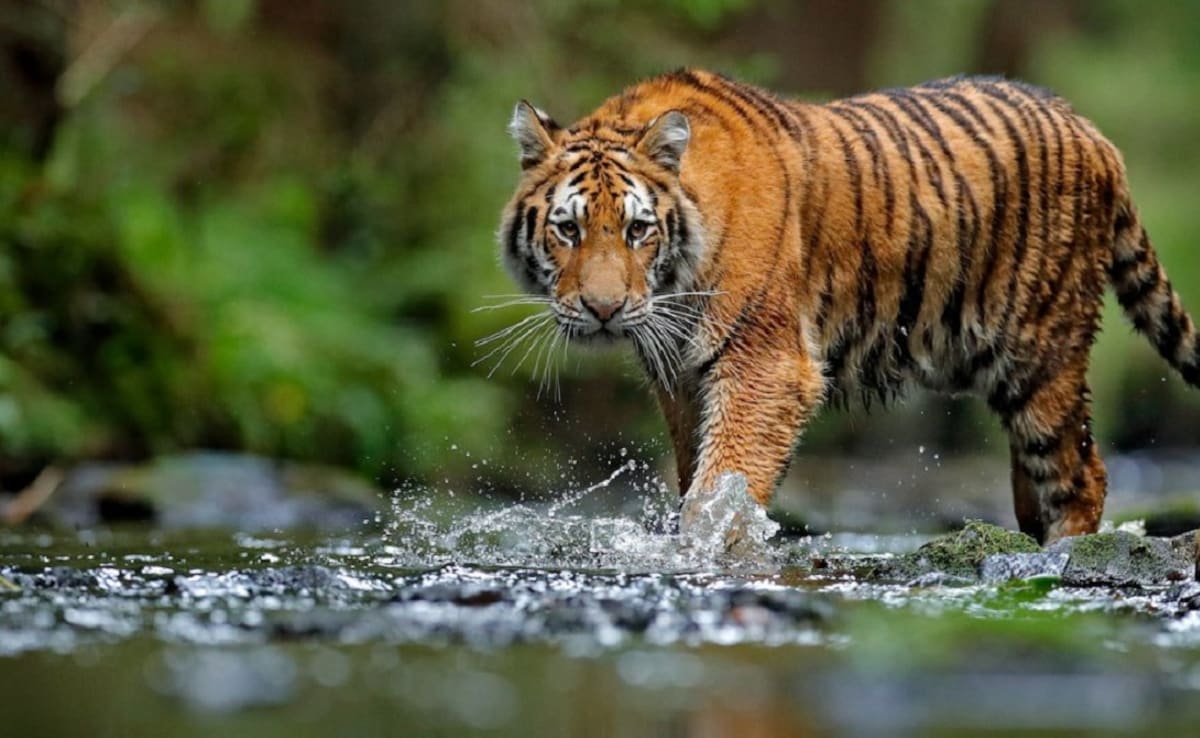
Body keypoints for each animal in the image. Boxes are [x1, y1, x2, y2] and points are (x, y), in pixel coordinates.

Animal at [495, 68, 1200, 544]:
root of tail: (1092, 131)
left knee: (1083, 474)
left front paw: (704, 547)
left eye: (638, 229)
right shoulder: (681, 377)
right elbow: (696, 470)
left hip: (1041, 354)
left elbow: (720, 485)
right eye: (568, 229)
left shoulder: (765, 363)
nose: (604, 309)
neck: (675, 283)